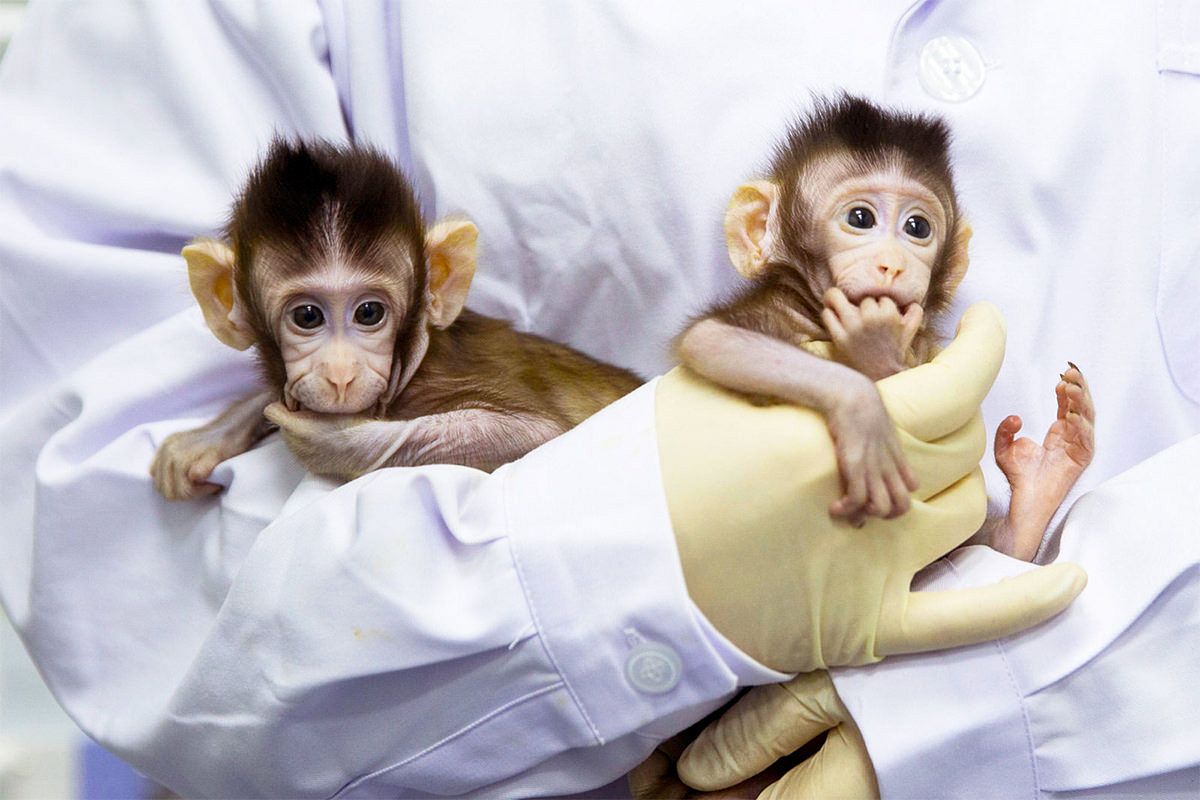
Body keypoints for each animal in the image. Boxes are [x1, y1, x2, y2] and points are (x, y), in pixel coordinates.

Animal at [151, 139, 642, 500]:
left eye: (369, 312)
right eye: (307, 316)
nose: (341, 374)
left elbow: (541, 435)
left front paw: (337, 440)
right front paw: (213, 433)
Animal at [677, 95, 1094, 560]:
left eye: (917, 227)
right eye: (860, 218)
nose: (893, 264)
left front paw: (877, 348)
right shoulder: (774, 308)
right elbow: (713, 341)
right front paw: (863, 409)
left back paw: (1040, 489)